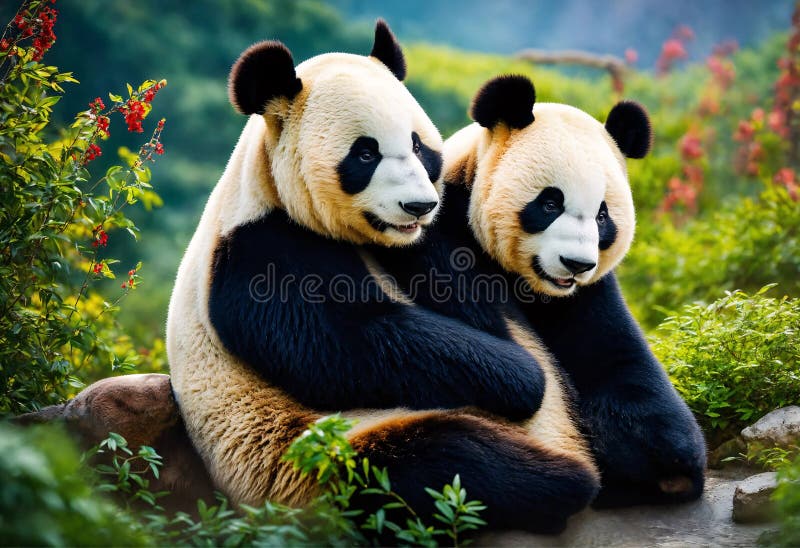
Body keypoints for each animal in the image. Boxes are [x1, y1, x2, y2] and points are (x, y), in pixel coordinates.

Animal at [167, 22, 598, 533]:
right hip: (317, 456)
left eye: (417, 145)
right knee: (444, 460)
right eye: (365, 154)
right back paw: (566, 481)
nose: (419, 205)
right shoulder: (259, 249)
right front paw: (525, 377)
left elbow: (462, 290)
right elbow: (346, 342)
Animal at [432, 74, 707, 507]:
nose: (575, 264)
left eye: (602, 215)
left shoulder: (588, 294)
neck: (533, 286)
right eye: (549, 203)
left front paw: (669, 465)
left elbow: (617, 359)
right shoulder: (443, 235)